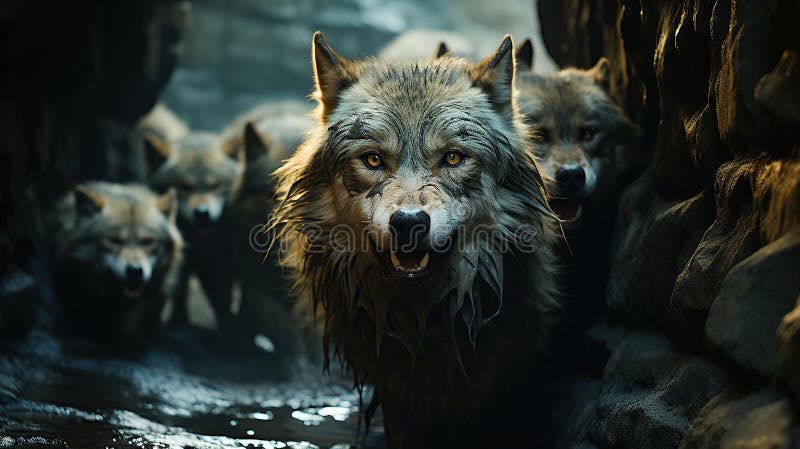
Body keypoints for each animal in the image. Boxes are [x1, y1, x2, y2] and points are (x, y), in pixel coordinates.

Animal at [145, 131, 242, 331]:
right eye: (184, 187)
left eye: (216, 185)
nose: (202, 213)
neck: (201, 245)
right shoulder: (189, 263)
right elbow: (180, 294)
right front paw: (178, 322)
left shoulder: (222, 262)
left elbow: (223, 300)